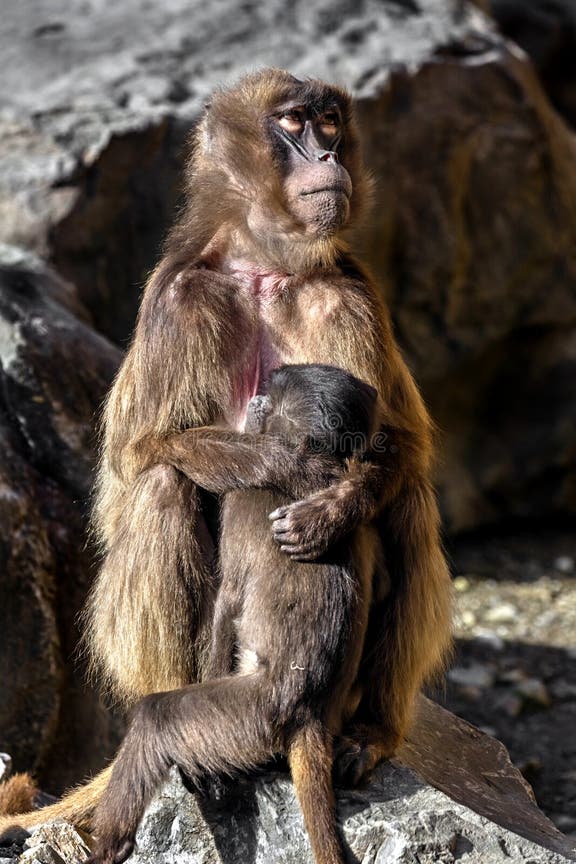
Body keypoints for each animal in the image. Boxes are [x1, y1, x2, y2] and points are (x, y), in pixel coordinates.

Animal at [88, 363, 381, 864]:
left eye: (271, 394)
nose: (255, 401)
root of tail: (311, 718)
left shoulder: (249, 501)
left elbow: (230, 600)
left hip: (251, 718)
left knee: (155, 720)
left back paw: (107, 843)